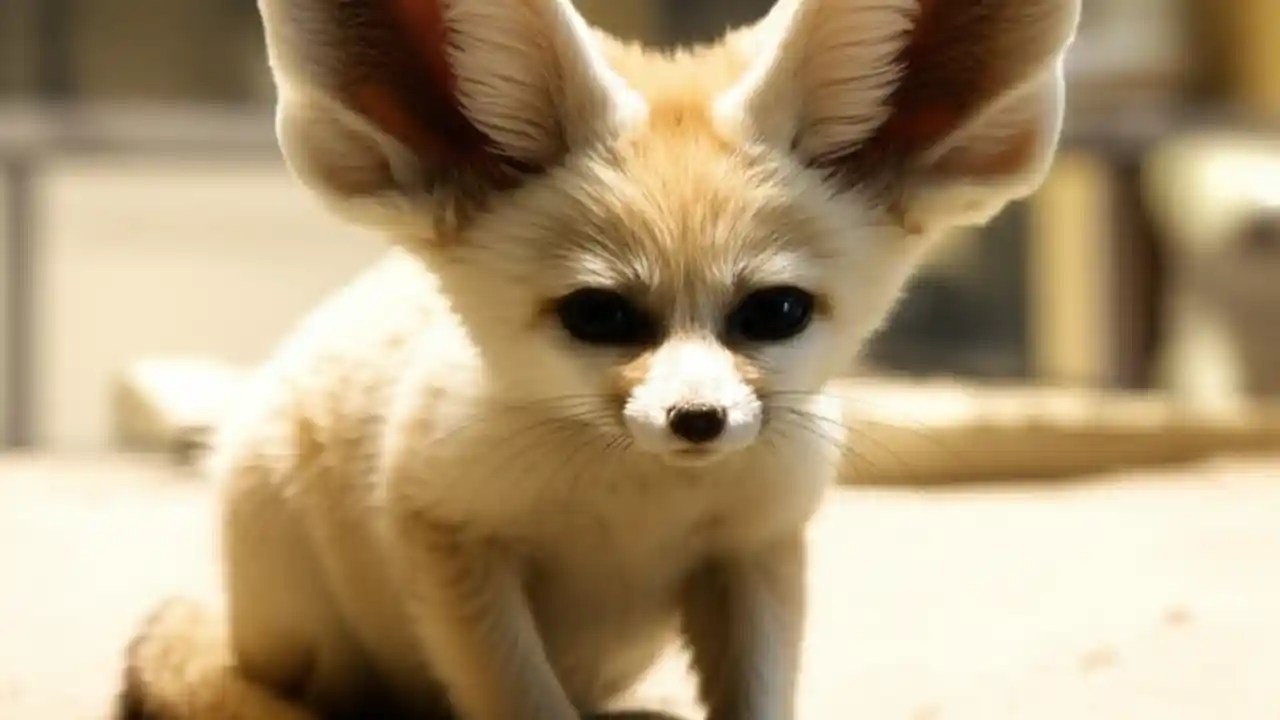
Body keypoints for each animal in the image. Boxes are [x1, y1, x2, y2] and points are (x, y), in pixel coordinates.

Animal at [118, 0, 1081, 718]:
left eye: (774, 312)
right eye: (600, 315)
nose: (697, 419)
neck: (635, 510)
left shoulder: (754, 547)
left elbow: (758, 694)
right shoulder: (446, 532)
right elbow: (523, 701)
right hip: (300, 609)